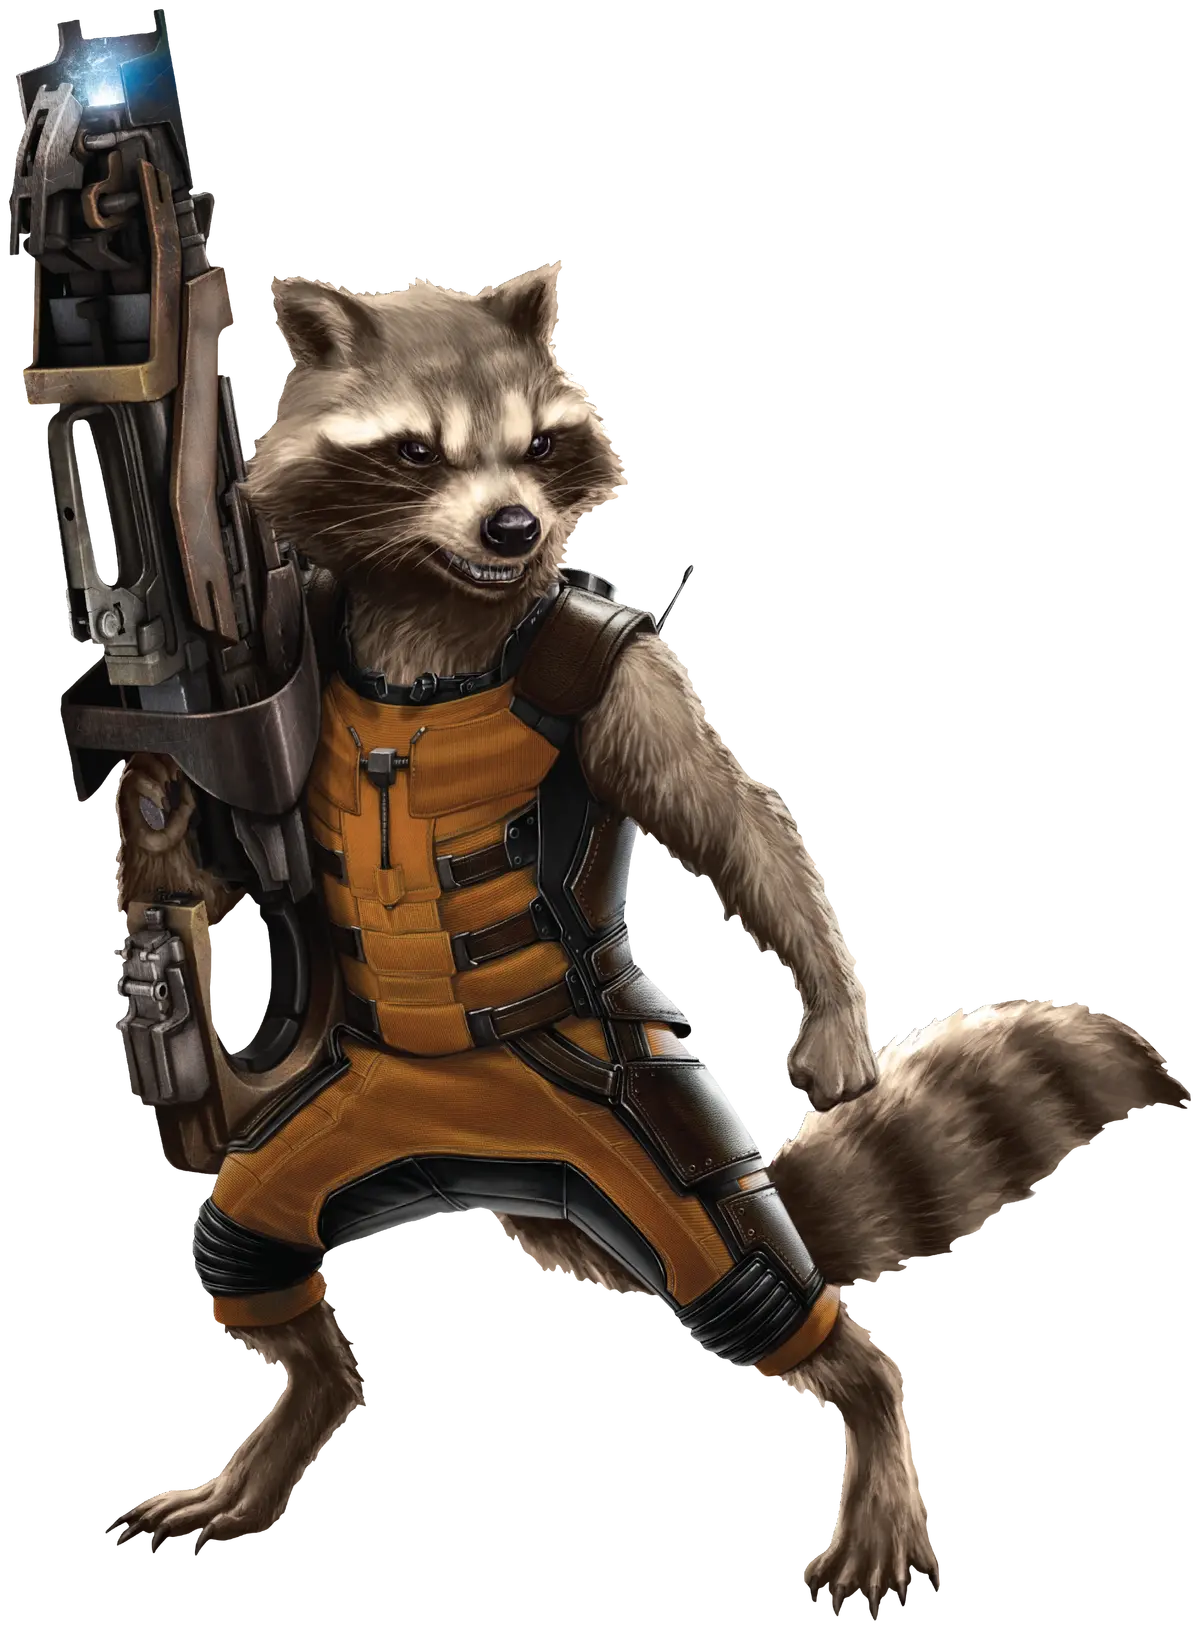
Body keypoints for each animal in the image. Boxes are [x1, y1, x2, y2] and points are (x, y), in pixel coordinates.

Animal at [108, 262, 1193, 1621]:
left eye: (535, 444)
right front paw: (155, 838)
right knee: (245, 1236)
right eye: (414, 451)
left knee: (748, 1278)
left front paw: (833, 1005)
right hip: (350, 1114)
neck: (433, 602)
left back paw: (871, 1419)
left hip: (629, 1113)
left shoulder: (621, 676)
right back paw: (305, 1397)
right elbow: (219, 841)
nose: (513, 530)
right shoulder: (300, 648)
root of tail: (483, 1169)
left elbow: (735, 821)